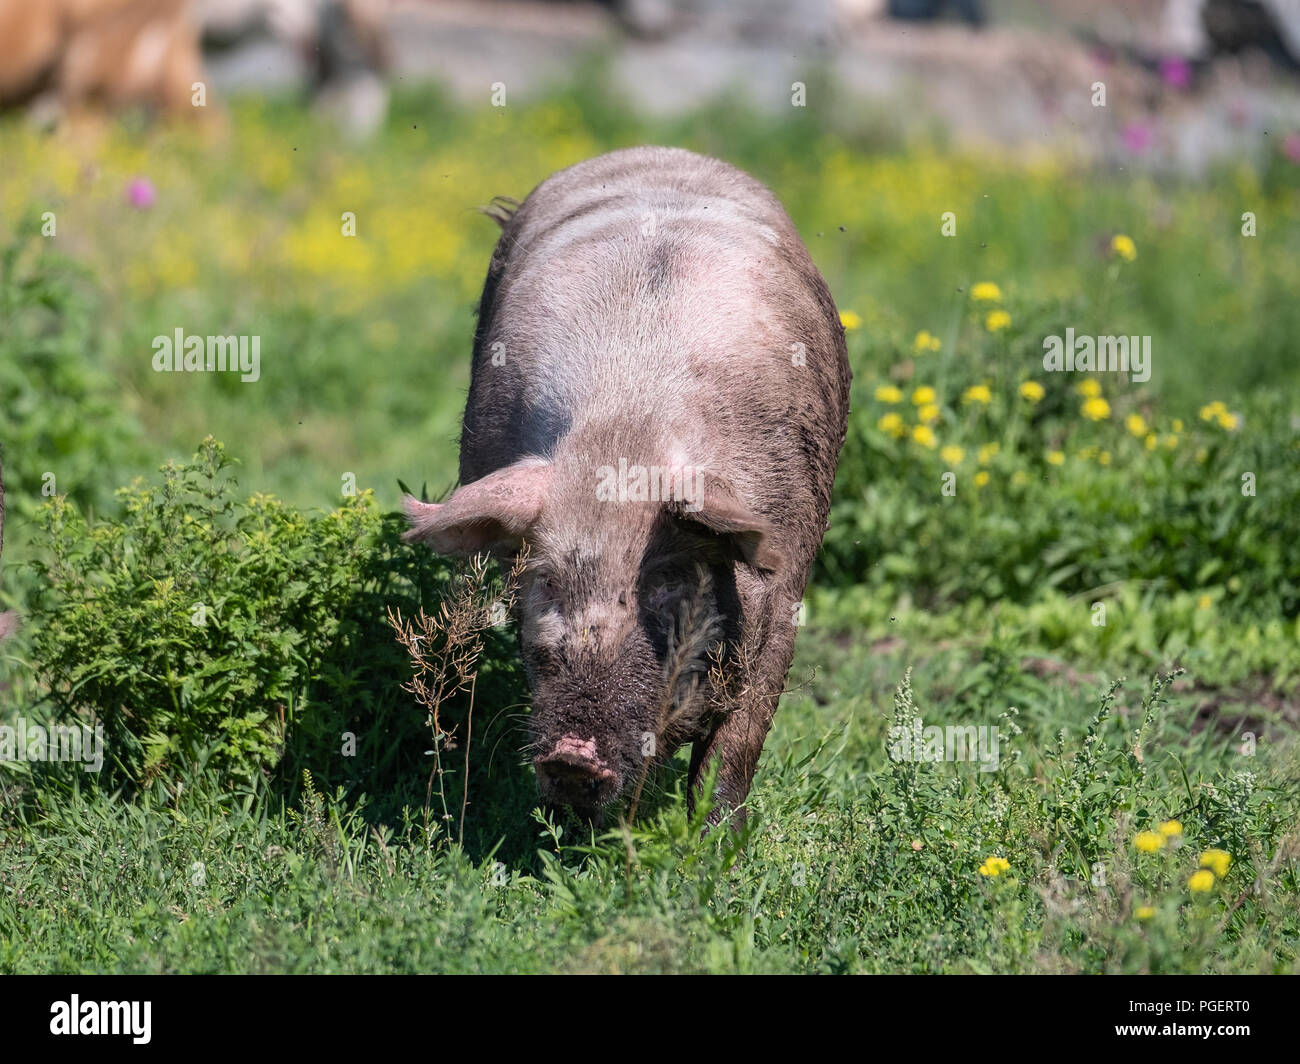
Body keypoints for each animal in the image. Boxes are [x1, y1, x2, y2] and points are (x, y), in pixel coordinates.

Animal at [405, 146, 850, 825]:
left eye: (664, 582)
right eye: (547, 580)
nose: (573, 756)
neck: (627, 429)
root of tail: (664, 151)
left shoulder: (785, 576)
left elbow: (739, 741)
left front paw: (713, 836)